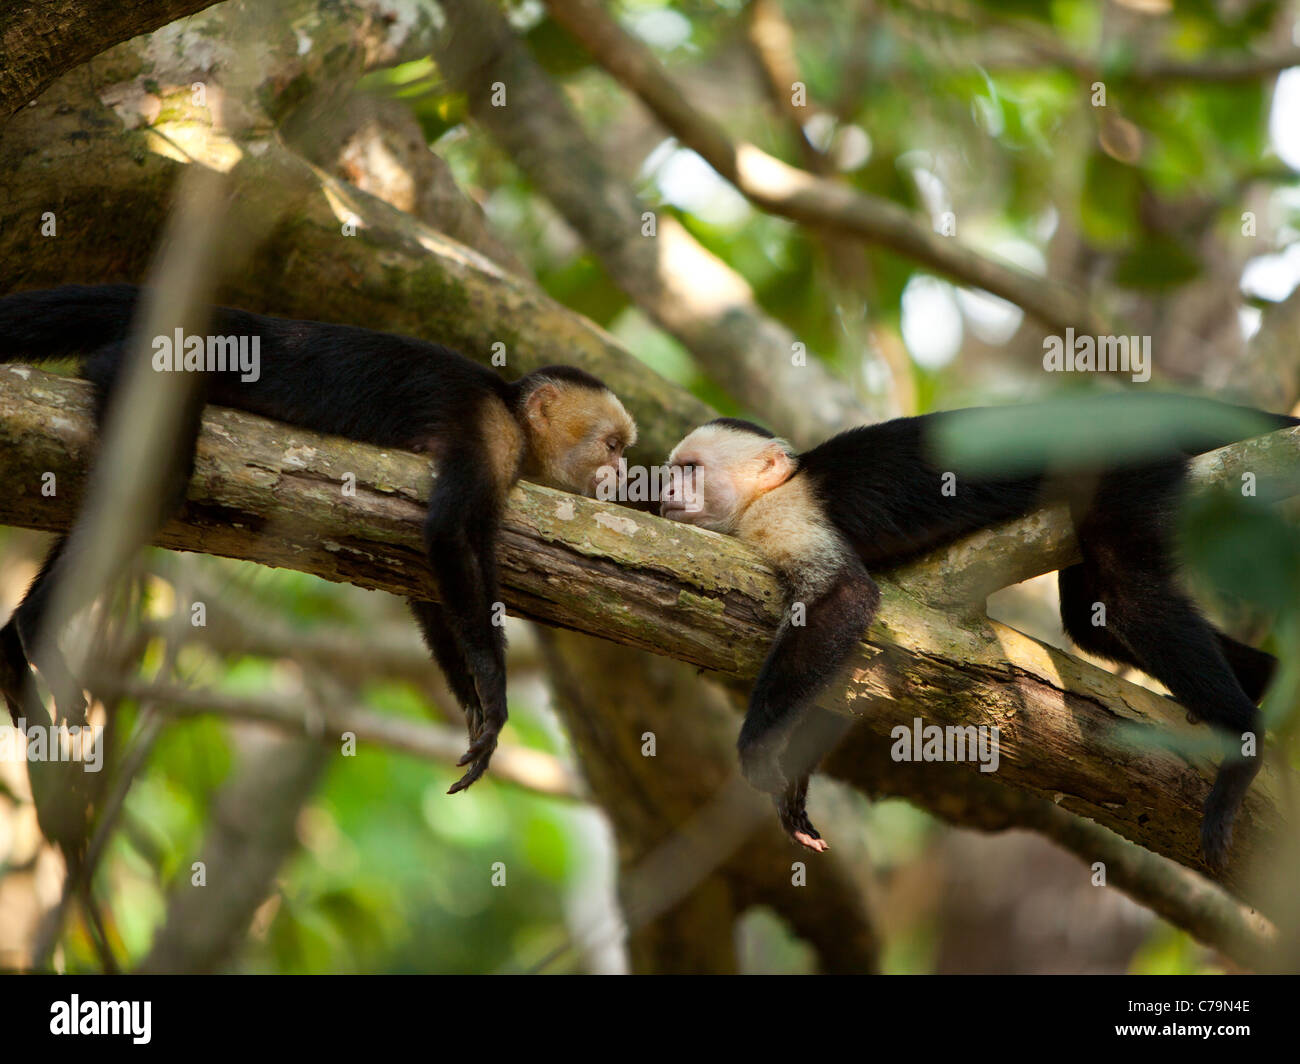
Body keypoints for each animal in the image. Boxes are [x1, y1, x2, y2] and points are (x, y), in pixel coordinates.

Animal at [0, 283, 636, 793]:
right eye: (611, 445)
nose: (623, 472)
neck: (510, 410)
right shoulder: (490, 432)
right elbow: (448, 535)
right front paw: (492, 687)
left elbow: (435, 577)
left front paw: (473, 704)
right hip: (144, 373)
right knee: (150, 485)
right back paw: (36, 629)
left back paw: (14, 644)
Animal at [660, 402, 1298, 869]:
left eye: (689, 470)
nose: (664, 492)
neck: (767, 494)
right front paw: (794, 789)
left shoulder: (785, 515)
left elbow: (844, 600)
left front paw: (759, 748)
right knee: (1094, 619)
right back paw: (1262, 676)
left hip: (1123, 465)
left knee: (1128, 597)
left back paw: (1242, 738)